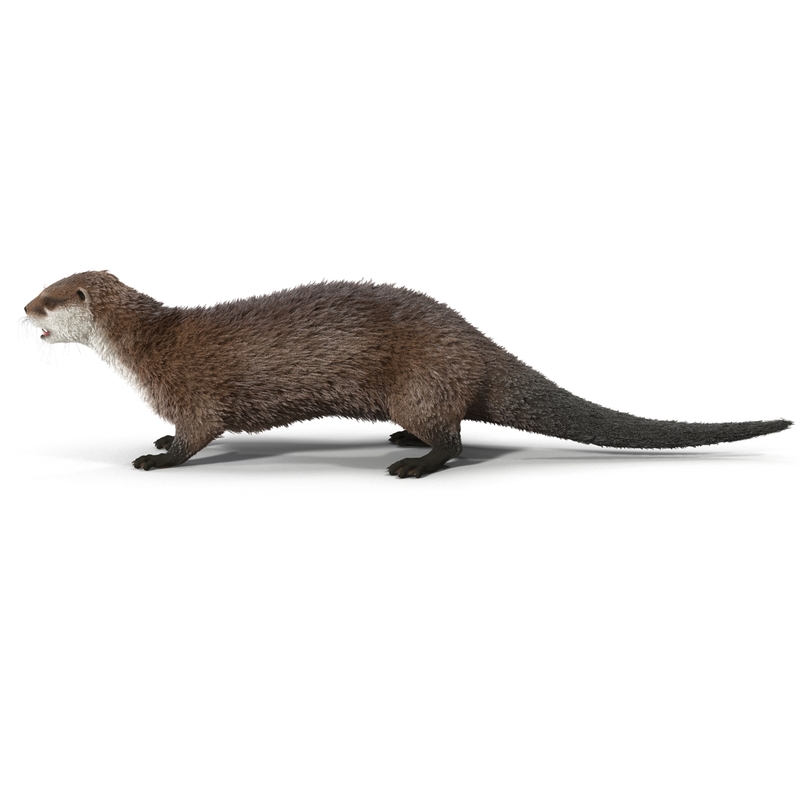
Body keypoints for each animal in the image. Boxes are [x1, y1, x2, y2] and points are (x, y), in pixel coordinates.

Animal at [24, 271, 791, 477]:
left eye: (48, 297)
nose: (23, 308)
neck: (145, 345)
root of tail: (475, 344)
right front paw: (155, 444)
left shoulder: (191, 393)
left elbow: (196, 434)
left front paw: (157, 458)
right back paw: (403, 444)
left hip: (421, 382)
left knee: (454, 438)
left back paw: (416, 463)